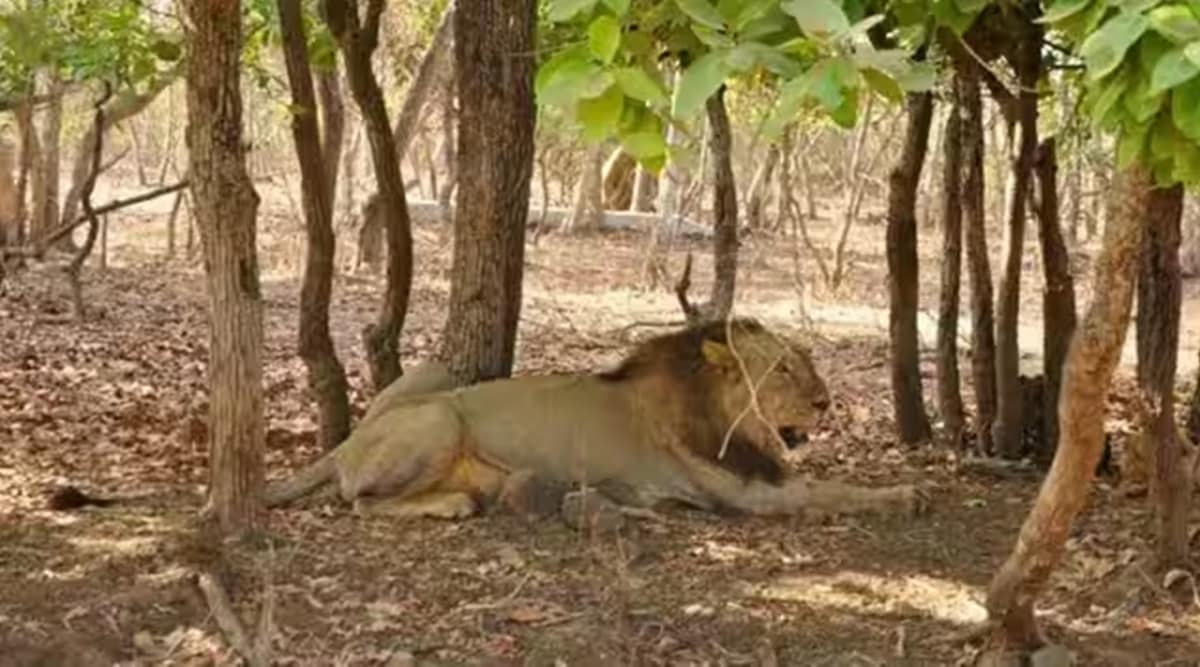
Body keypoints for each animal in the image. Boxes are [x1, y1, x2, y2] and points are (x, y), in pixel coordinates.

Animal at [265, 319, 927, 520]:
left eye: (807, 361)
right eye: (784, 370)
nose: (826, 402)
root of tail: (346, 441)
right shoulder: (746, 495)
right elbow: (830, 490)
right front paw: (904, 494)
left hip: (437, 371)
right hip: (441, 419)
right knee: (357, 500)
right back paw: (454, 505)